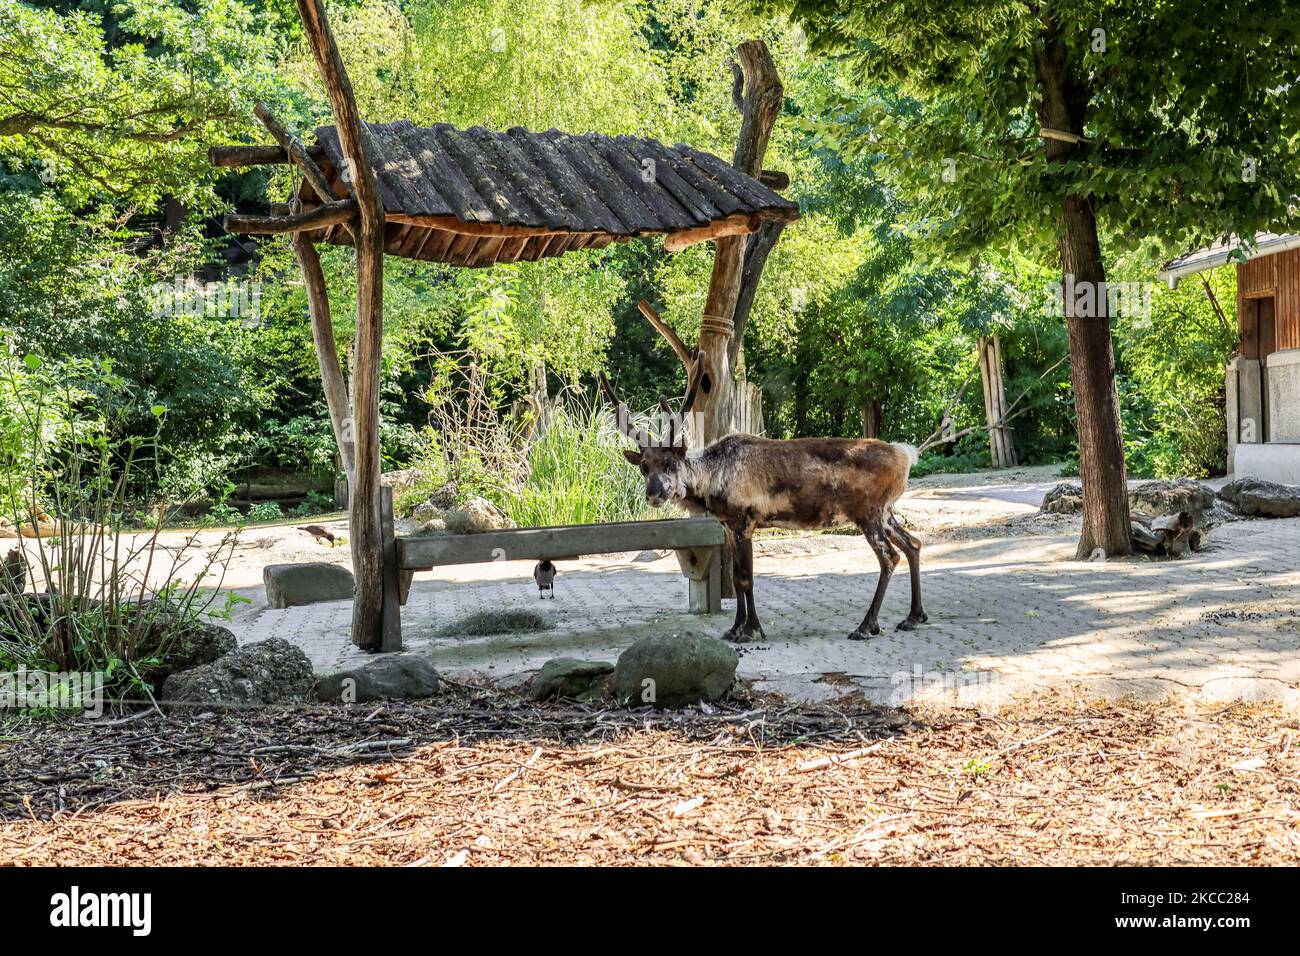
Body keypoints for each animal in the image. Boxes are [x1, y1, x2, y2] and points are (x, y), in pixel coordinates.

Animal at [600, 366, 927, 644]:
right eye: (644, 466)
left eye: (669, 463)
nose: (654, 493)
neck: (712, 479)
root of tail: (906, 456)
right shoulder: (728, 527)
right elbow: (736, 577)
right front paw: (734, 628)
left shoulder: (744, 520)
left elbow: (746, 578)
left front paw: (751, 630)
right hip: (885, 512)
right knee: (913, 543)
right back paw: (913, 617)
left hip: (868, 512)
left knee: (890, 557)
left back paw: (866, 626)